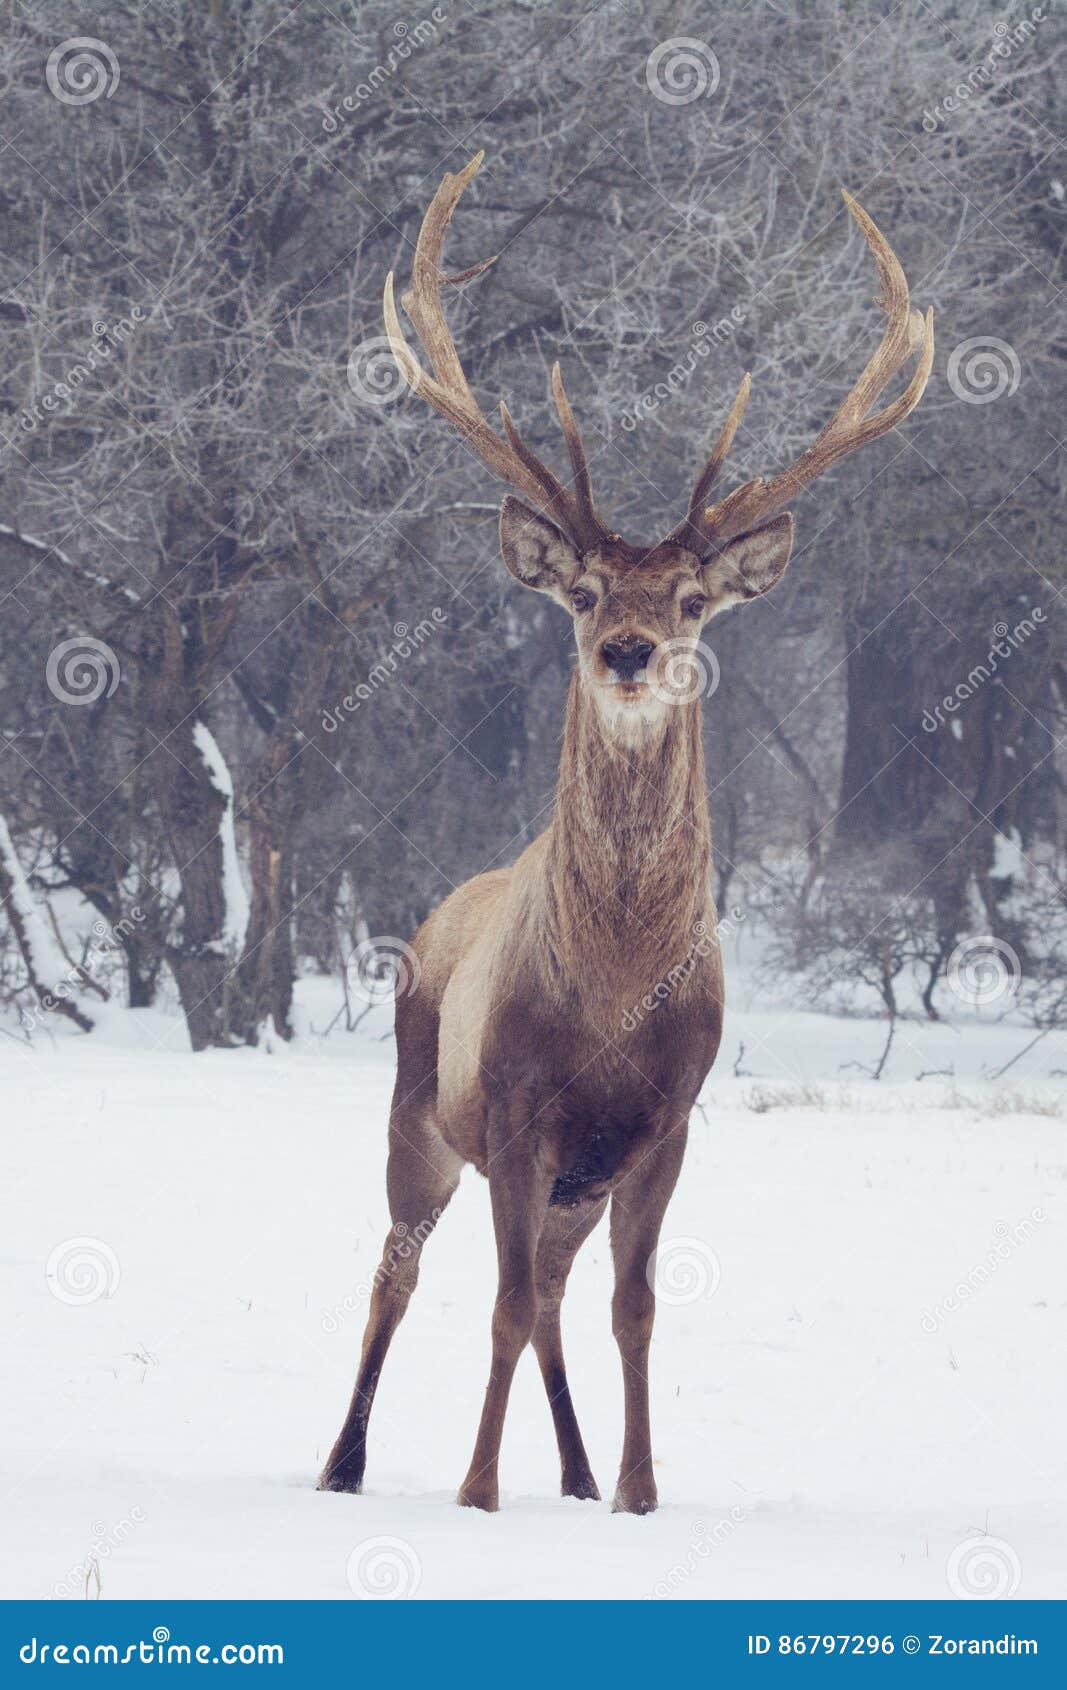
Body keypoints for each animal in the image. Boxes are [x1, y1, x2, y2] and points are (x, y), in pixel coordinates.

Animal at [319, 153, 933, 1514]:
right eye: (587, 590)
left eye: (694, 596)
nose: (631, 649)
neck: (608, 997)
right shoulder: (512, 1110)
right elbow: (492, 1306)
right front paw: (474, 1491)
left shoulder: (663, 1122)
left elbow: (633, 1309)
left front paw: (640, 1493)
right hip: (415, 1108)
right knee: (398, 1270)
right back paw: (343, 1462)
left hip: (572, 1182)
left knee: (552, 1291)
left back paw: (575, 1469)